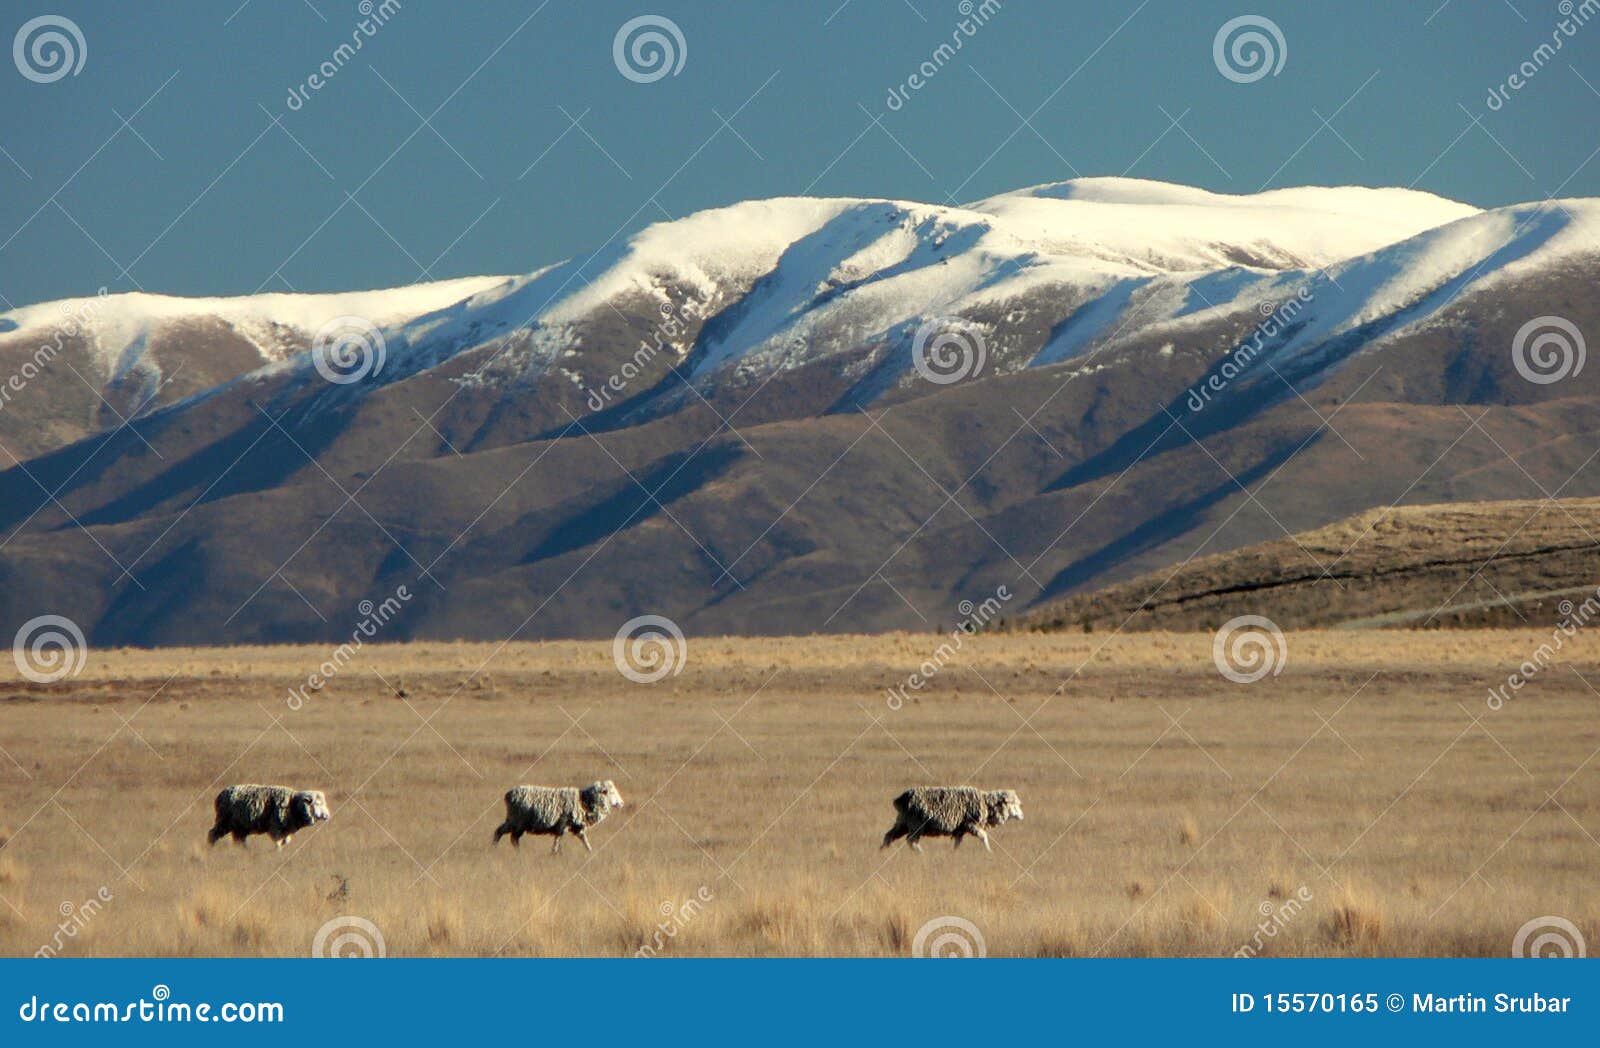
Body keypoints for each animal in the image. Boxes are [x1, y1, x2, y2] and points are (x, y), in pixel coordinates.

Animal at [492, 781, 624, 854]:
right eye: (611, 792)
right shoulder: (562, 825)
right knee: (499, 831)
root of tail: (508, 794)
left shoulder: (577, 827)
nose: (621, 803)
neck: (584, 801)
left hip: (520, 824)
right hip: (515, 820)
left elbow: (584, 841)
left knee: (514, 839)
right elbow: (557, 843)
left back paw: (519, 854)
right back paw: (493, 849)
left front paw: (591, 853)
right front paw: (554, 854)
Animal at [880, 786, 1023, 853]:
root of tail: (901, 799)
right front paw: (990, 852)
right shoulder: (971, 824)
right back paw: (921, 853)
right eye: (1013, 803)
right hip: (916, 824)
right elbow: (984, 837)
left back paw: (881, 853)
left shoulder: (960, 829)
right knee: (911, 841)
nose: (1022, 816)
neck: (986, 803)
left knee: (889, 836)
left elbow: (957, 843)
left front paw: (954, 854)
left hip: (903, 823)